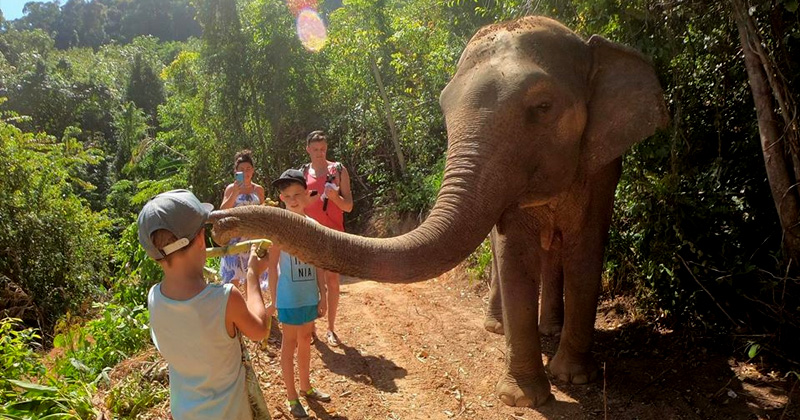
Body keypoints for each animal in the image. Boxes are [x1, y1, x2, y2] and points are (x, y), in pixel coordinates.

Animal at [210, 16, 668, 407]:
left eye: (542, 107)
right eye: (446, 110)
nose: (218, 225)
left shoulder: (604, 167)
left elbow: (587, 251)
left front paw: (573, 377)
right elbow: (513, 255)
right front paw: (523, 398)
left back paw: (550, 330)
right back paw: (498, 327)